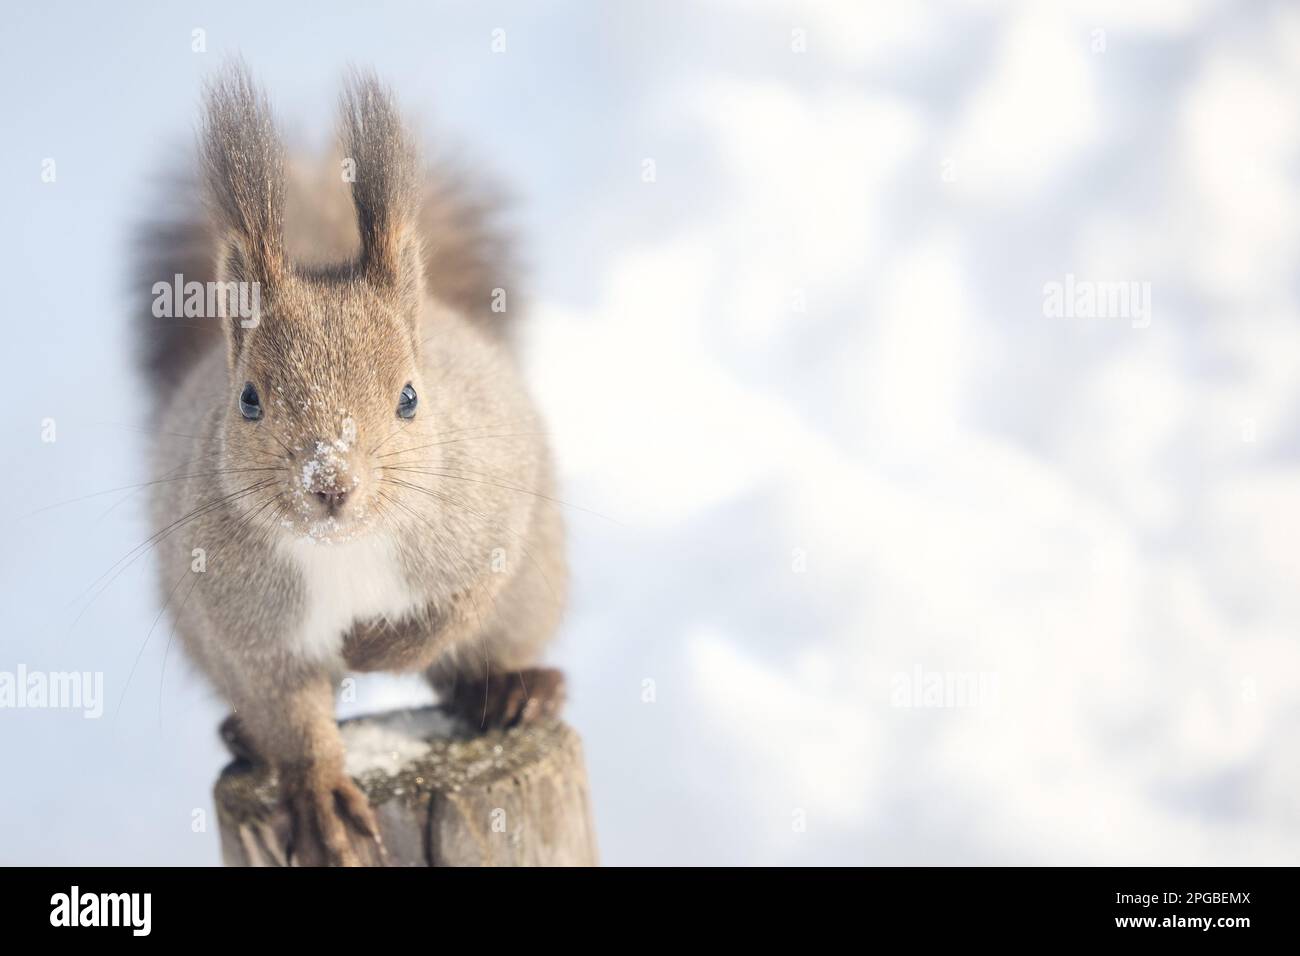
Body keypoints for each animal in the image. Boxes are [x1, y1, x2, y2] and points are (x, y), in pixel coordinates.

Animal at [134, 64, 567, 866]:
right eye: (248, 399)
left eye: (410, 398)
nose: (330, 483)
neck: (341, 548)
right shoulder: (249, 627)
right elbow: (295, 716)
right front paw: (320, 795)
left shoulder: (484, 523)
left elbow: (453, 610)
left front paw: (371, 647)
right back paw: (244, 736)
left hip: (532, 587)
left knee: (479, 656)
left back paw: (513, 690)